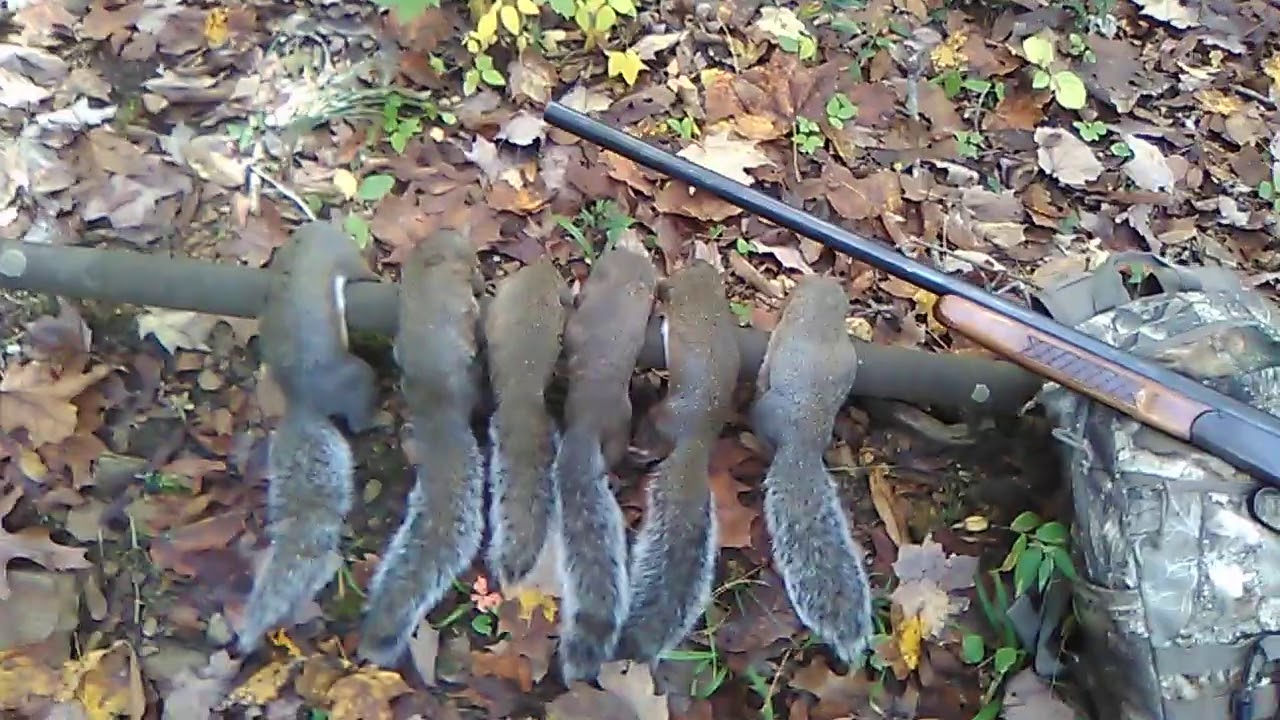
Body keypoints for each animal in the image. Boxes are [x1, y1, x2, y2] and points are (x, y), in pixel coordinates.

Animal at [617, 261, 741, 664]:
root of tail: (697, 441)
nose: (689, 261)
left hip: (661, 417)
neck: (704, 284)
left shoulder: (677, 289)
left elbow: (664, 289)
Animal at [750, 276, 874, 666]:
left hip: (765, 411)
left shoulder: (781, 339)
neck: (822, 316)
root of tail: (801, 445)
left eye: (794, 294)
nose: (793, 290)